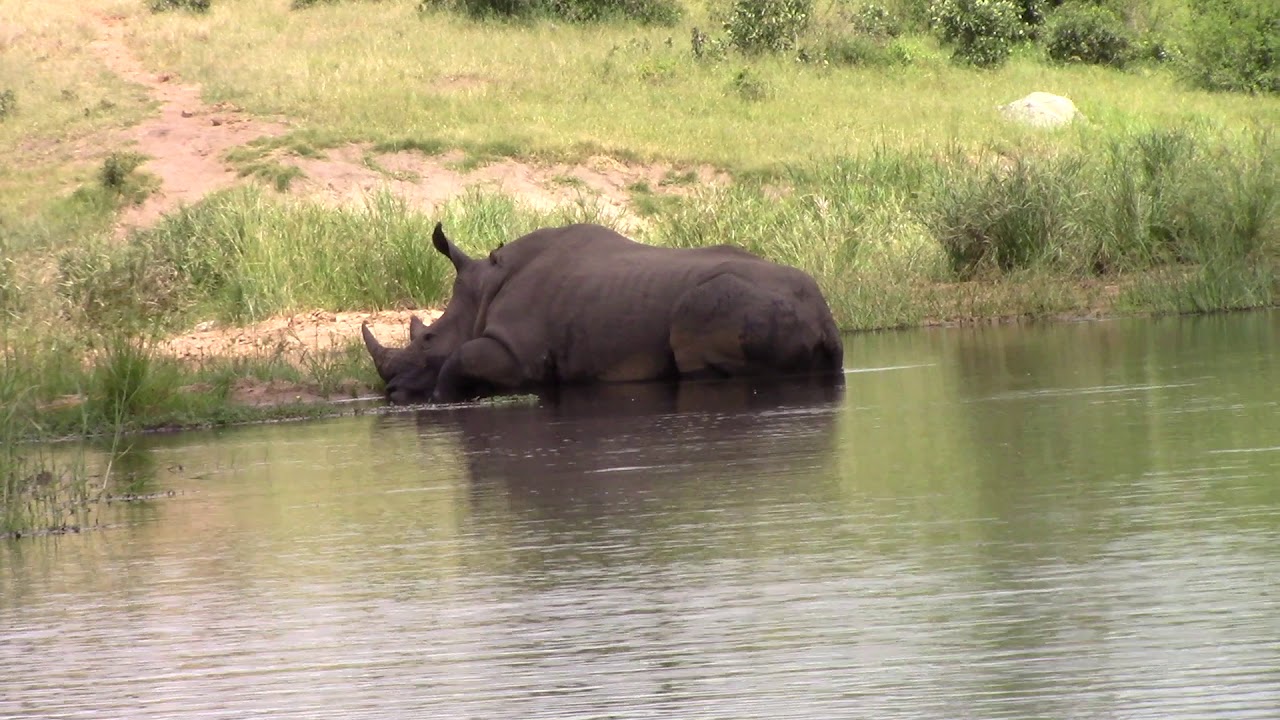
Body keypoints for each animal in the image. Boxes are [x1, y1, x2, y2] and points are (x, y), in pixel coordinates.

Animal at [361, 223, 844, 404]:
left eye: (427, 341)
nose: (392, 392)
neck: (481, 294)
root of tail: (825, 320)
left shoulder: (518, 354)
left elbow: (460, 359)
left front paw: (436, 399)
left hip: (731, 304)